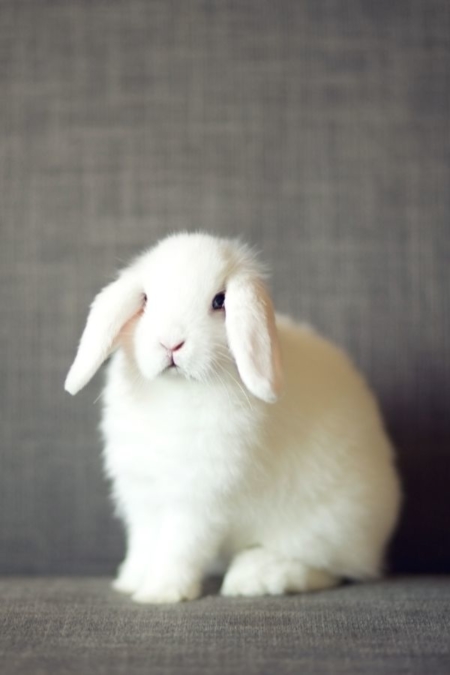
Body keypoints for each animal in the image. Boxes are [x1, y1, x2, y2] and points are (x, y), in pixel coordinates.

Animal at [65, 232, 401, 604]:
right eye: (146, 299)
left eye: (219, 301)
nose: (171, 343)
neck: (177, 390)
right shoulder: (143, 495)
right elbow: (144, 542)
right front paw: (130, 581)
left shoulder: (200, 500)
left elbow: (178, 547)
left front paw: (159, 593)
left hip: (323, 527)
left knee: (326, 569)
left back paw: (254, 577)